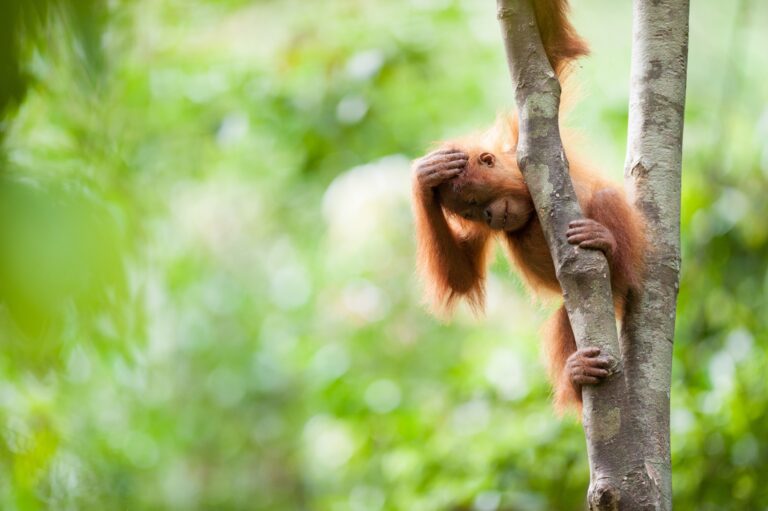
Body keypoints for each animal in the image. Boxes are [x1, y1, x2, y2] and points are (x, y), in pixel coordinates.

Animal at [411, 0, 646, 414]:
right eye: (470, 213)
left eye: (476, 201)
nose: (490, 217)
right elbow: (461, 276)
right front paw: (425, 177)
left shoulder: (528, 133)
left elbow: (553, 51)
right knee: (564, 322)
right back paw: (576, 377)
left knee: (606, 206)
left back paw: (606, 243)